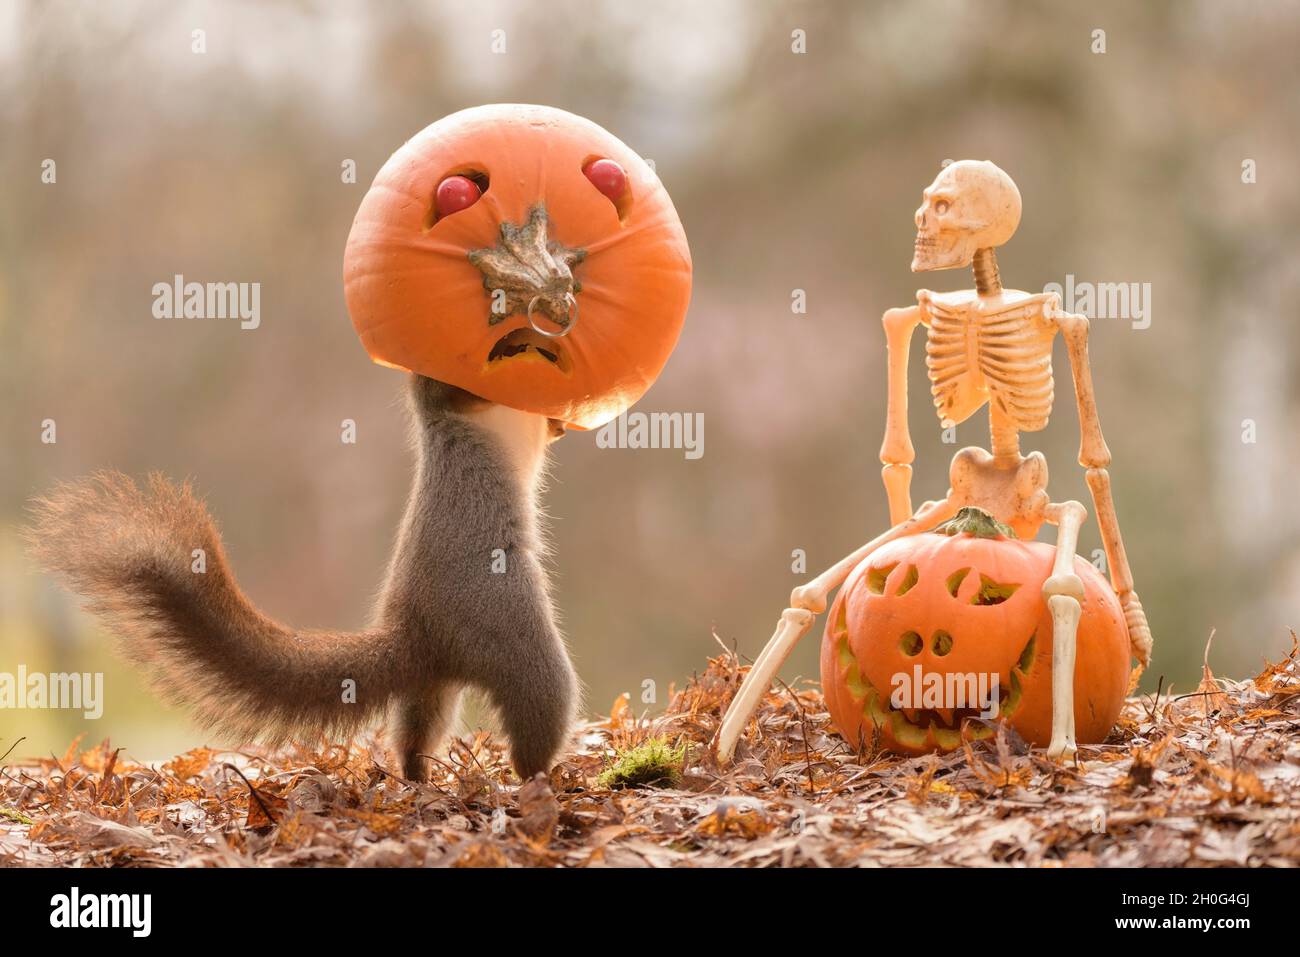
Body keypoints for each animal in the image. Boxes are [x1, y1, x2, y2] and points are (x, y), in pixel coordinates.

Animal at [25, 375, 578, 782]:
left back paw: (420, 779)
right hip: (517, 640)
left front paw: (556, 421)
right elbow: (460, 388)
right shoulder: (442, 395)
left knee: (413, 738)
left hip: (430, 687)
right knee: (535, 721)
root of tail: (419, 633)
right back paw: (540, 779)